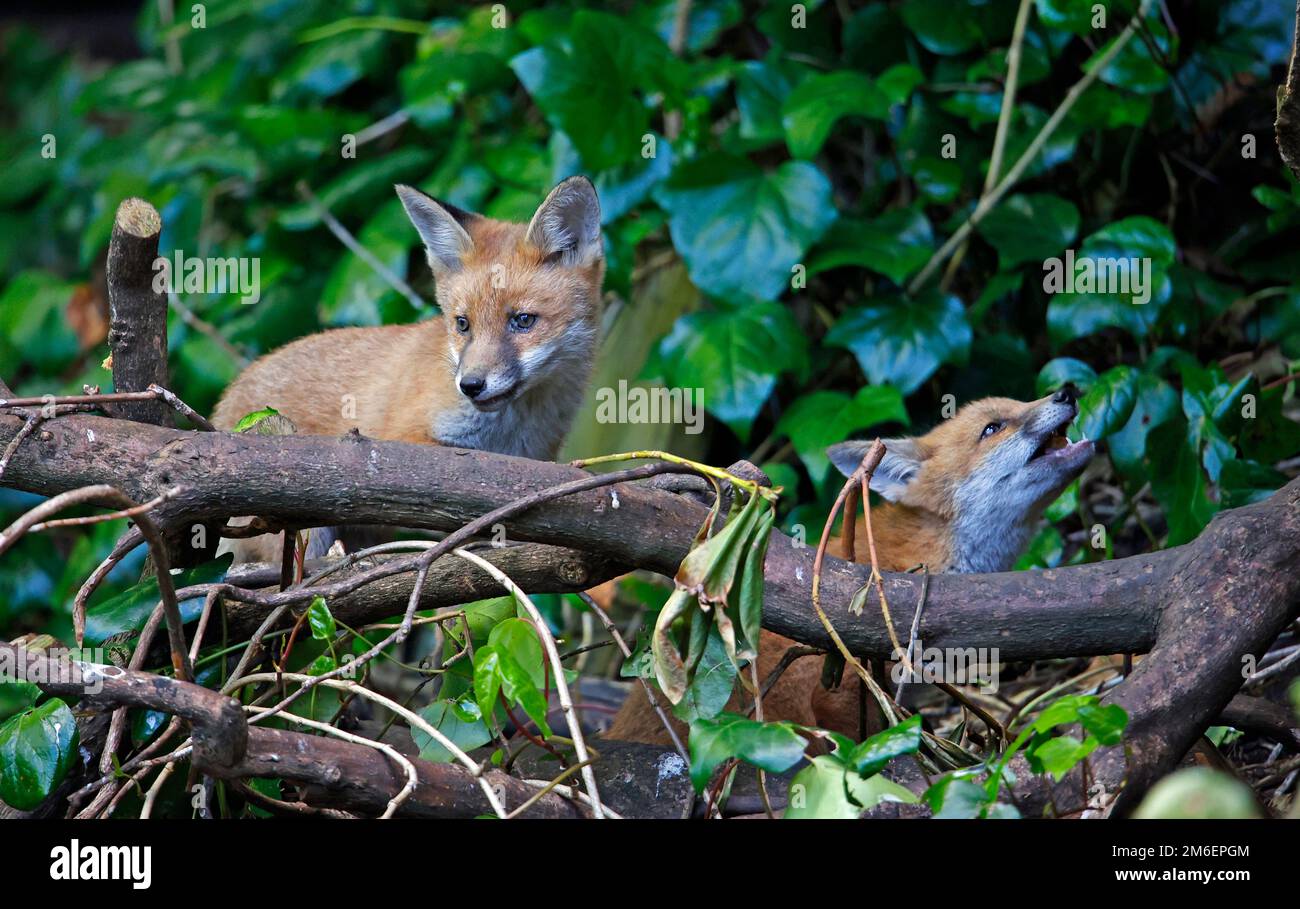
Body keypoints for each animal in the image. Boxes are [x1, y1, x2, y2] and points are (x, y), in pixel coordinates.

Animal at [211, 176, 605, 558]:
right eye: (463, 324)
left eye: (523, 320)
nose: (470, 385)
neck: (507, 431)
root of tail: (224, 405)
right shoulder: (404, 439)